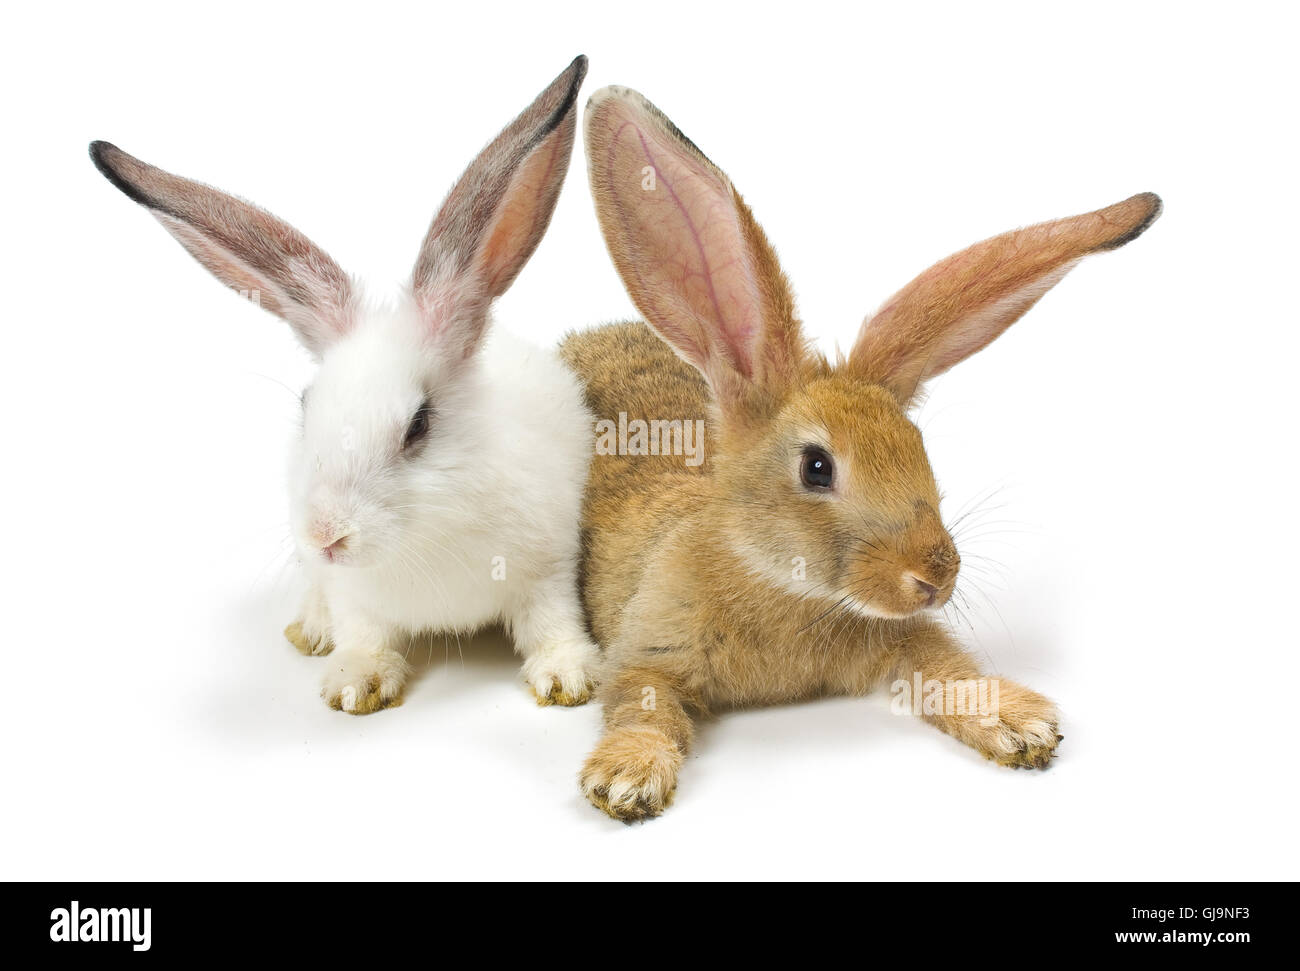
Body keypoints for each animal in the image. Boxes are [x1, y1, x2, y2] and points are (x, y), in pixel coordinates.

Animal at [90, 56, 601, 714]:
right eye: (307, 408)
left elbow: (552, 622)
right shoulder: (355, 594)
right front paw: (355, 683)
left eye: (419, 425)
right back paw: (310, 628)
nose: (327, 535)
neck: (425, 536)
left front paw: (568, 679)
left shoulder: (548, 568)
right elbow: (364, 630)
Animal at [560, 85, 1162, 820]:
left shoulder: (902, 635)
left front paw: (1019, 722)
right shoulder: (647, 649)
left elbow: (945, 668)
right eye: (817, 468)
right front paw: (627, 777)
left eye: (918, 445)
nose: (935, 576)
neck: (780, 585)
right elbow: (641, 706)